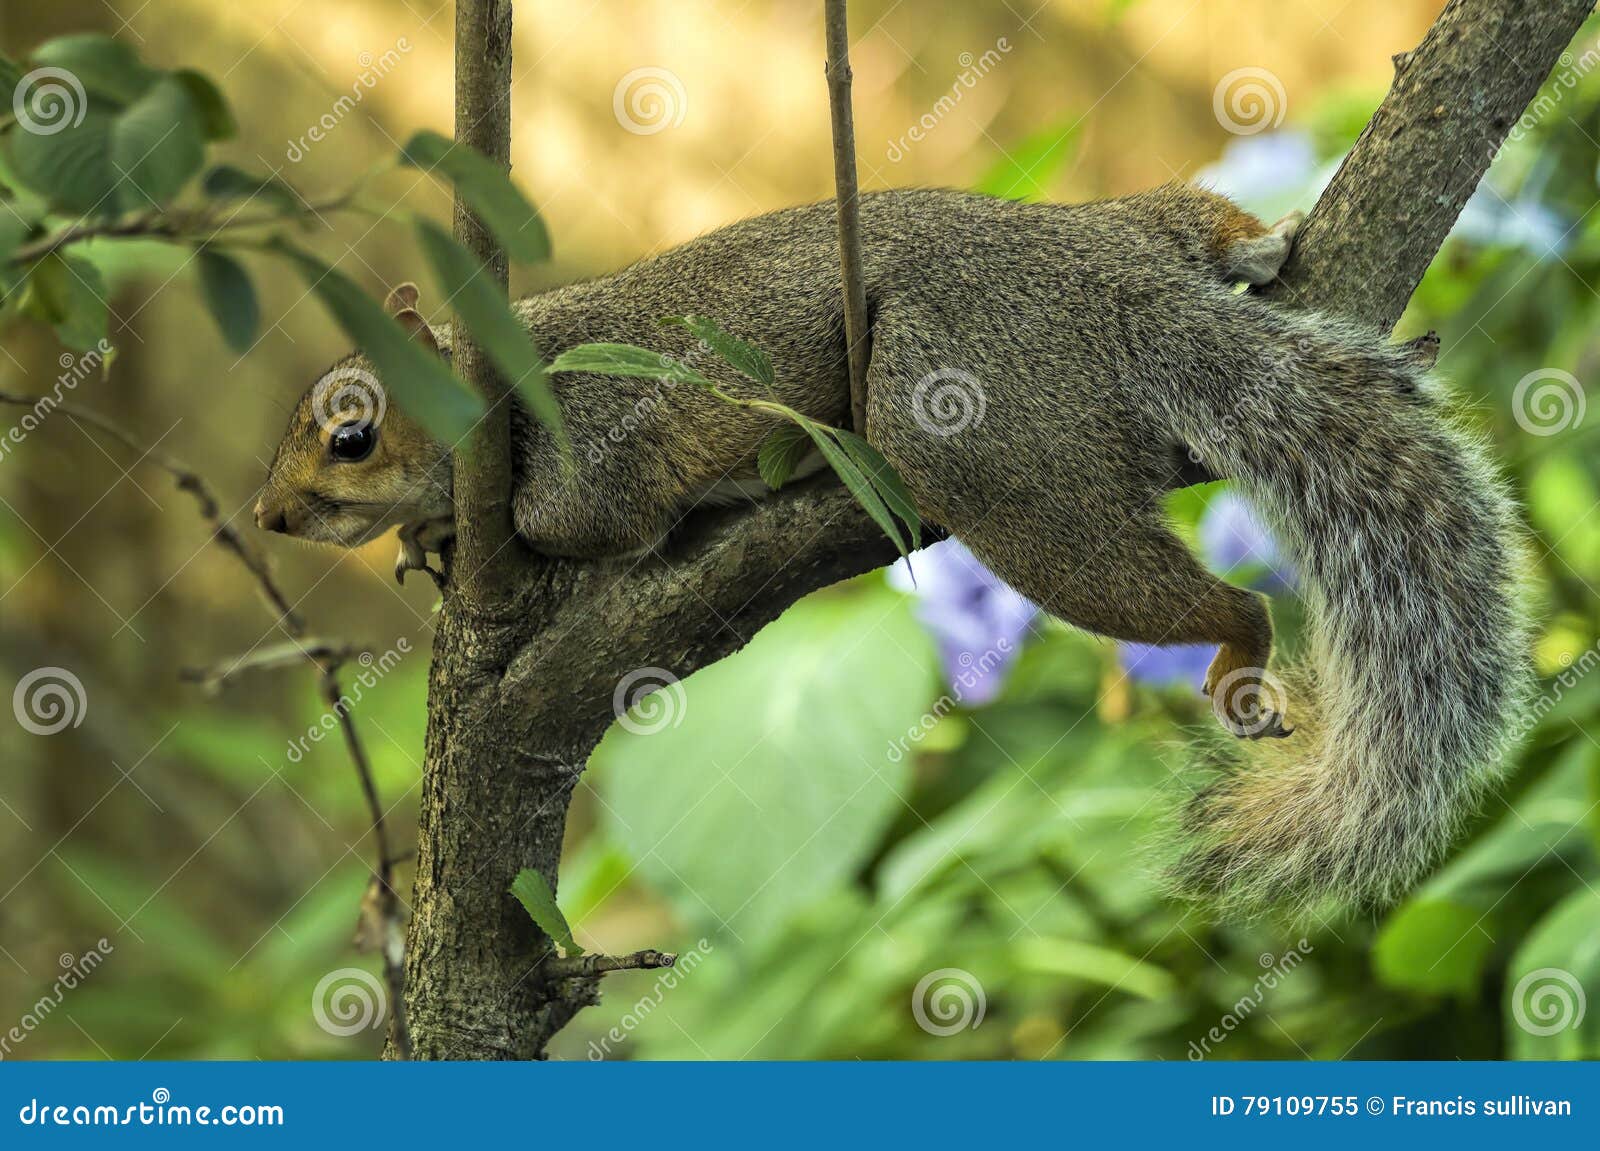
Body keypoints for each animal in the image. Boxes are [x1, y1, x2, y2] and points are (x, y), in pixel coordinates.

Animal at [256, 182, 1532, 916]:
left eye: (352, 434)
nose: (271, 516)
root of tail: (1118, 296)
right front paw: (427, 536)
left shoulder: (603, 430)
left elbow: (583, 520)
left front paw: (473, 529)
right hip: (1121, 234)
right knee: (1188, 212)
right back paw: (1258, 239)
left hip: (980, 439)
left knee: (1191, 593)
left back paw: (1235, 642)